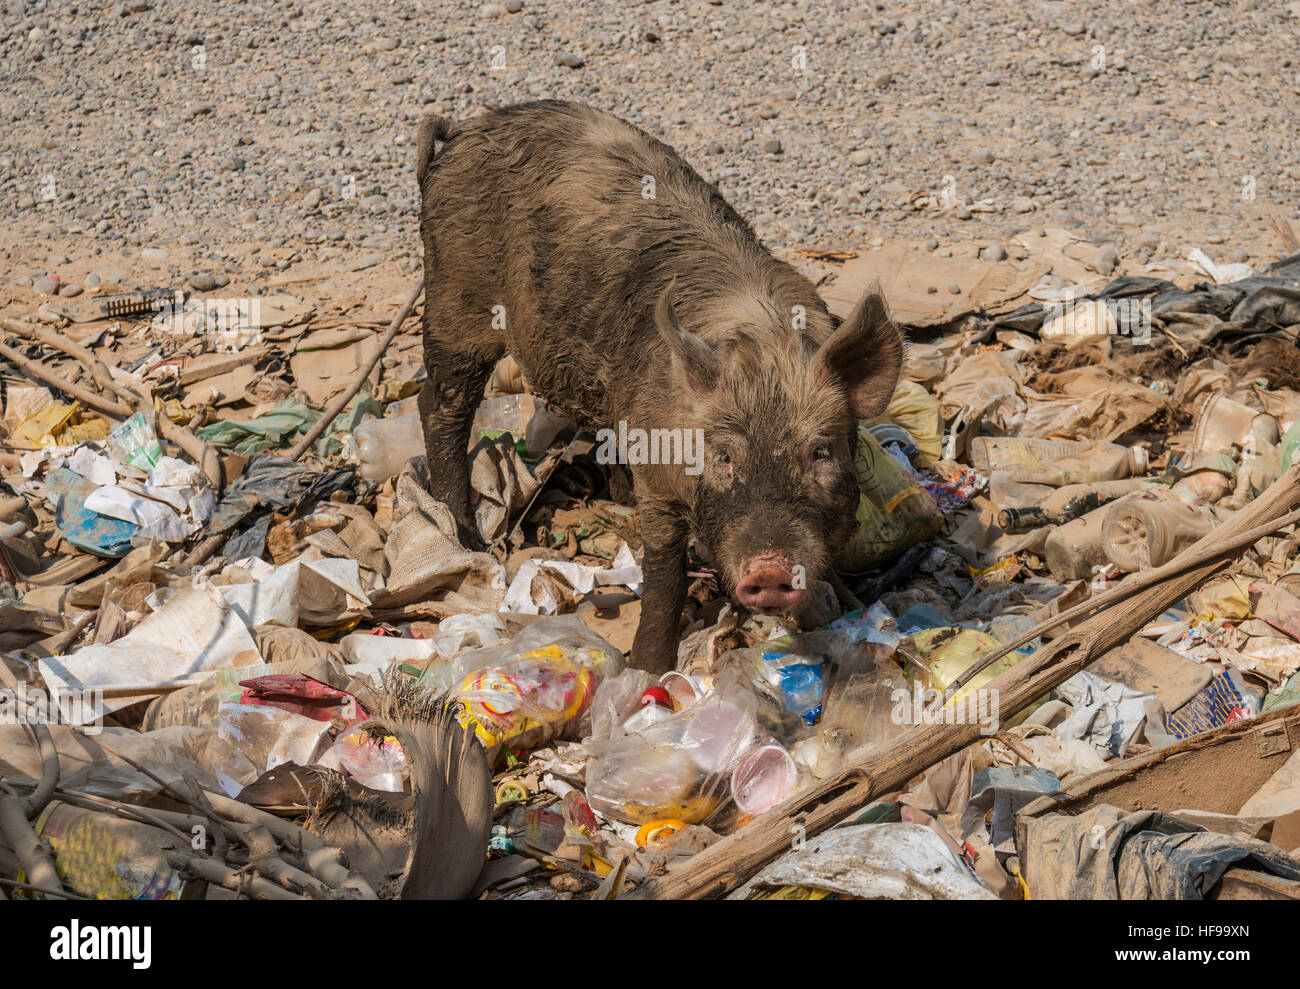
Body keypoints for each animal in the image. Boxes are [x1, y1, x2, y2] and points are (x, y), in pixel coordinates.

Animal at [416, 101, 903, 675]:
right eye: (723, 456)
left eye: (821, 452)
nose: (769, 569)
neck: (764, 346)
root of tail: (463, 129)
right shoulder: (660, 481)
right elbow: (665, 573)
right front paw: (648, 670)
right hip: (455, 298)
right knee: (440, 406)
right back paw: (468, 540)